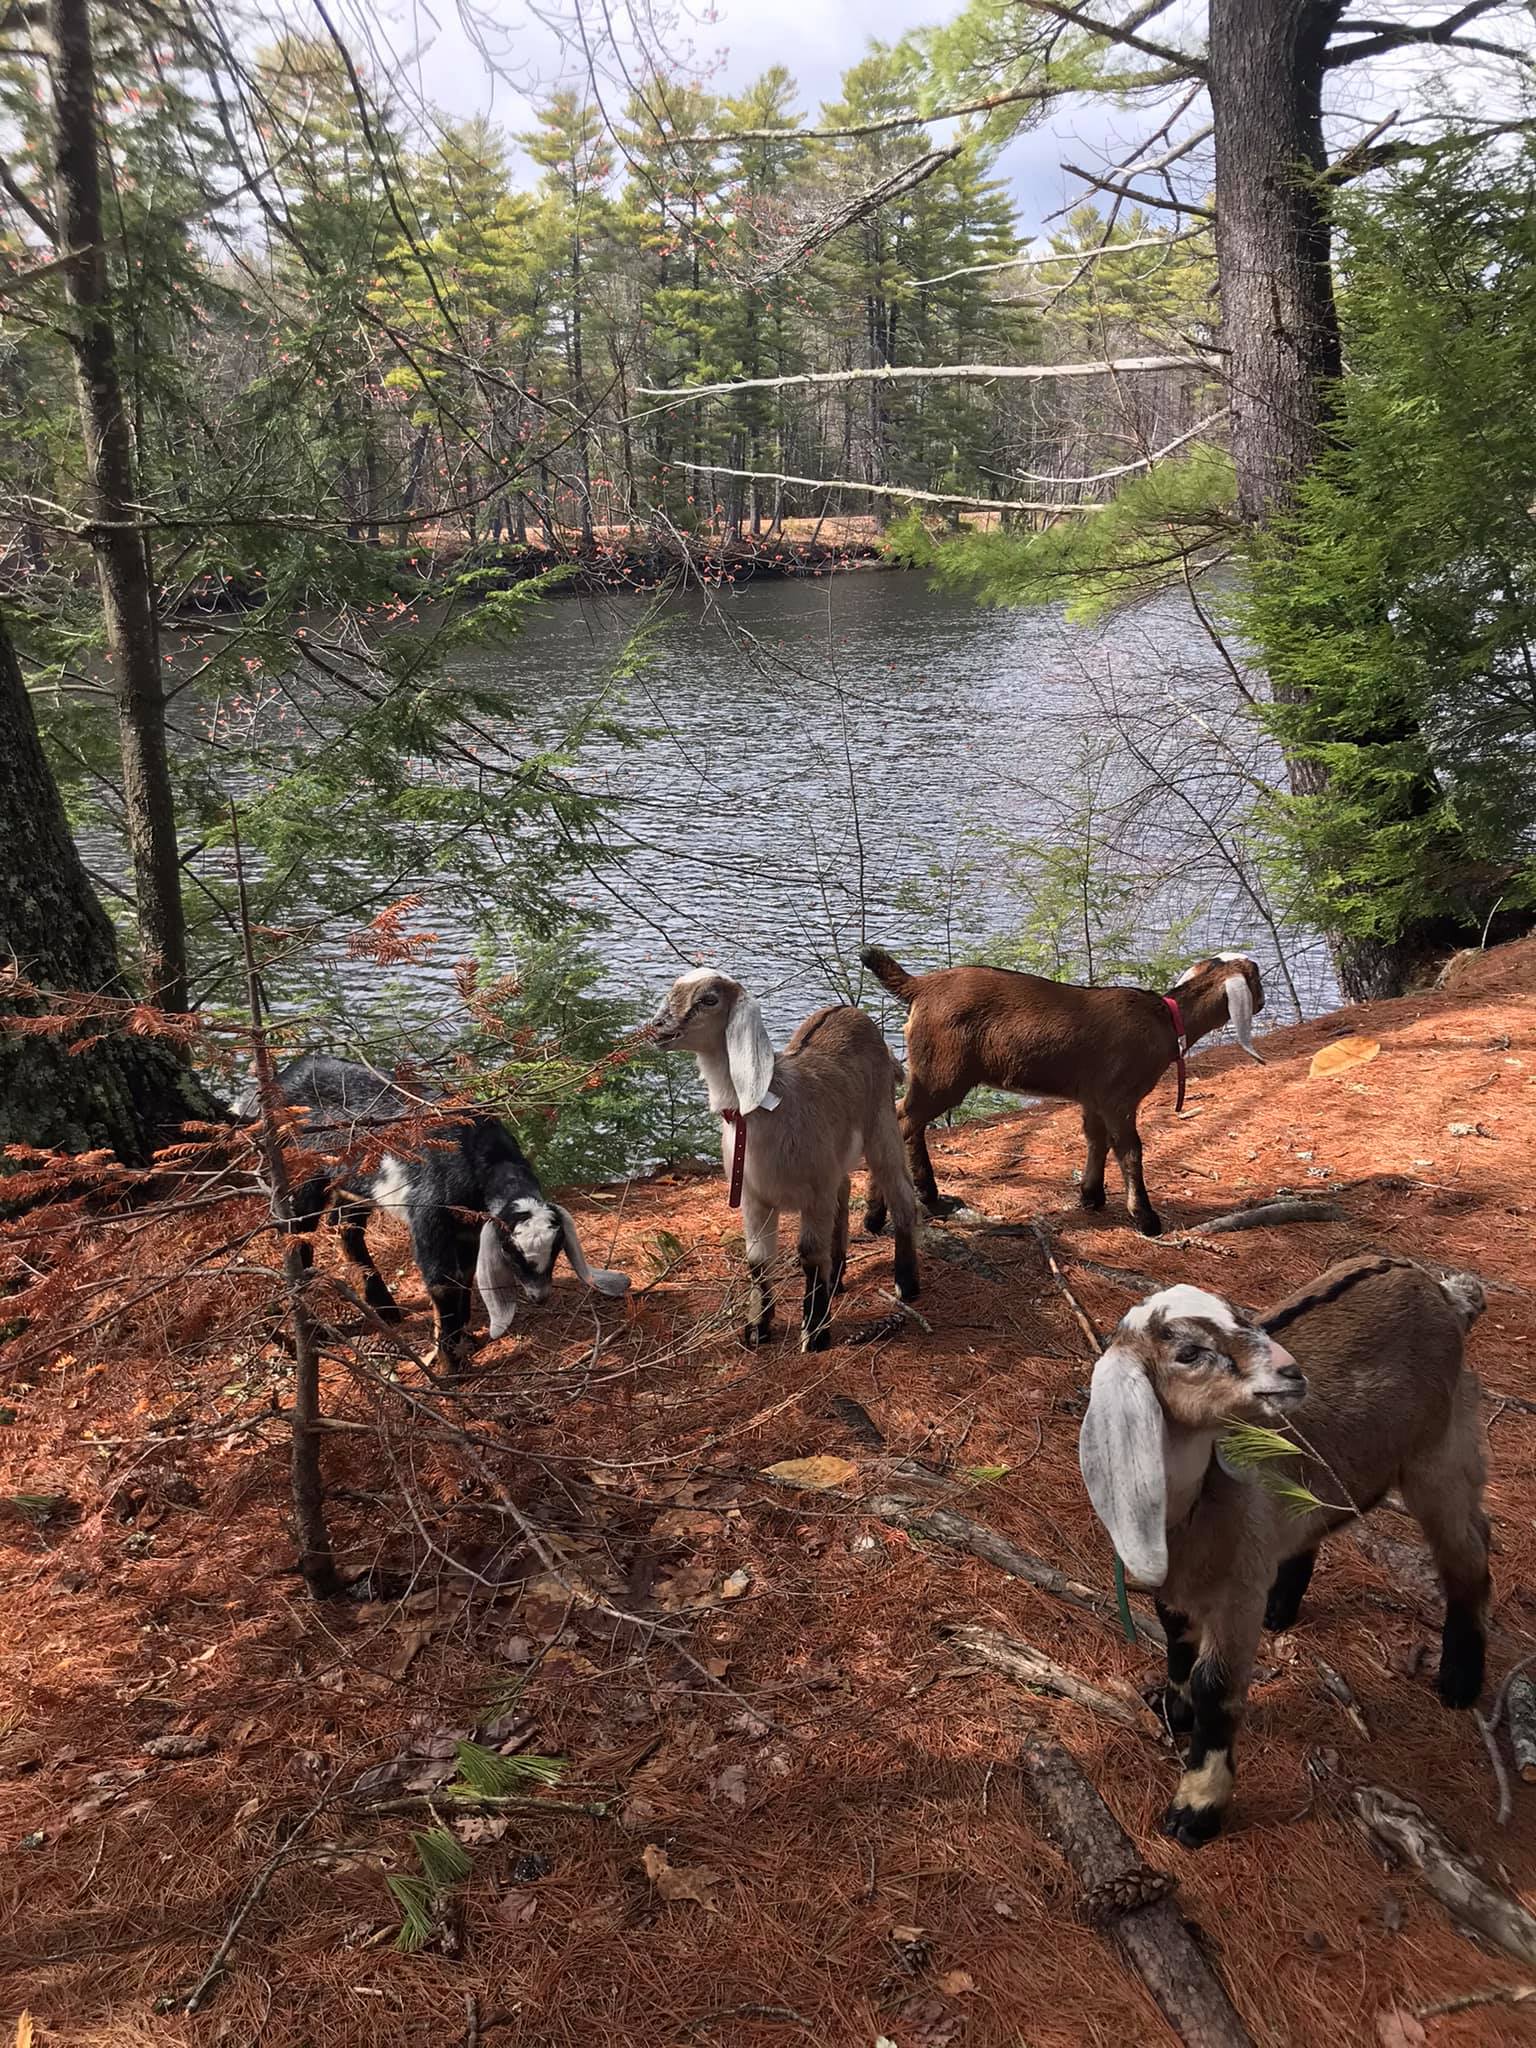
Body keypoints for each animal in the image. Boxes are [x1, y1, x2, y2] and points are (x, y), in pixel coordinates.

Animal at [244, 1054, 628, 1364]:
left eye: (558, 1248)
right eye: (511, 1251)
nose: (540, 1295)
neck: (479, 1156)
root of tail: (286, 1075)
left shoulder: (470, 1228)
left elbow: (466, 1274)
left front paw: (465, 1333)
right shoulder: (429, 1216)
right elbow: (443, 1281)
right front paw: (450, 1359)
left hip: (355, 1183)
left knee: (346, 1228)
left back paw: (385, 1308)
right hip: (300, 1169)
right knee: (299, 1228)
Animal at [648, 972, 919, 1350]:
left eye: (709, 1000)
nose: (658, 1027)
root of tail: (848, 1011)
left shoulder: (815, 1193)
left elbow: (809, 1254)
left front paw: (815, 1333)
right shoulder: (754, 1197)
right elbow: (757, 1260)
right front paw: (757, 1328)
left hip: (880, 1124)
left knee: (902, 1193)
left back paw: (906, 1285)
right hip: (835, 1158)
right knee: (845, 1188)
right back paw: (837, 1278)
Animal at [860, 946, 1265, 1236]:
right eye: (1256, 976)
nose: (1261, 1001)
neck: (1165, 1020)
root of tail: (921, 986)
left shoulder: (1094, 1097)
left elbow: (1096, 1140)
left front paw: (1091, 1195)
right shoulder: (1119, 1097)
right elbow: (1130, 1150)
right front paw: (1145, 1218)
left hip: (929, 1073)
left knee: (908, 1121)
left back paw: (929, 1194)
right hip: (943, 1074)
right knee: (903, 1122)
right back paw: (875, 1217)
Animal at [1078, 1255, 1490, 1848]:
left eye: (1244, 1318)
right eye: (1189, 1353)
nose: (1292, 1374)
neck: (1188, 1509)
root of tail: (1436, 1289)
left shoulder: (1237, 1591)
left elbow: (1216, 1686)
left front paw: (1197, 1807)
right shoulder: (1176, 1584)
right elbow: (1178, 1646)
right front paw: (1174, 1708)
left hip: (1439, 1450)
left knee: (1468, 1549)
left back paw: (1460, 1677)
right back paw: (1283, 1607)